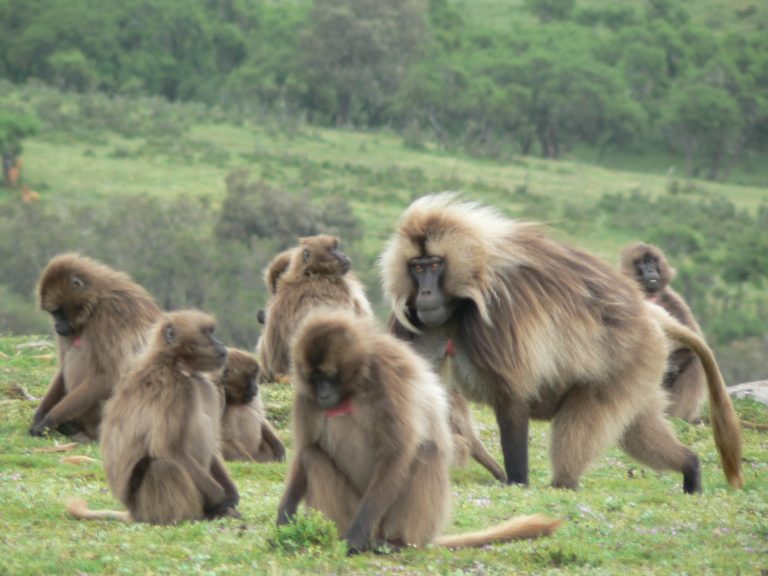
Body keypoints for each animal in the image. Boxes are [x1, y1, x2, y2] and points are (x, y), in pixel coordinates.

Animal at [30, 253, 161, 440]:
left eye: (58, 312)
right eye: (53, 313)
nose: (57, 326)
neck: (95, 302)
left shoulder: (110, 315)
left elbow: (107, 377)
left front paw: (49, 420)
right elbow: (63, 370)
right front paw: (39, 416)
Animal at [66, 310, 240, 524]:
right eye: (207, 334)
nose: (222, 344)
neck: (178, 366)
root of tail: (132, 511)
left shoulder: (205, 387)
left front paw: (232, 495)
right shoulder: (176, 390)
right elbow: (169, 448)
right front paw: (221, 499)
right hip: (145, 503)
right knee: (162, 466)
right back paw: (190, 517)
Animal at [276, 308, 561, 553]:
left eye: (329, 376)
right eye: (314, 378)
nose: (324, 397)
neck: (354, 386)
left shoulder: (388, 379)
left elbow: (398, 452)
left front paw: (355, 537)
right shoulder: (305, 396)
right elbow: (304, 448)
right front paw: (283, 521)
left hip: (387, 517)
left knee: (427, 450)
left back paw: (396, 542)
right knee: (313, 455)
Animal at [620, 243, 706, 422]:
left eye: (652, 261)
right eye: (641, 263)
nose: (651, 270)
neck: (649, 296)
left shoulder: (673, 300)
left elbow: (691, 345)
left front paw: (670, 367)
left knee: (695, 360)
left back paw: (678, 416)